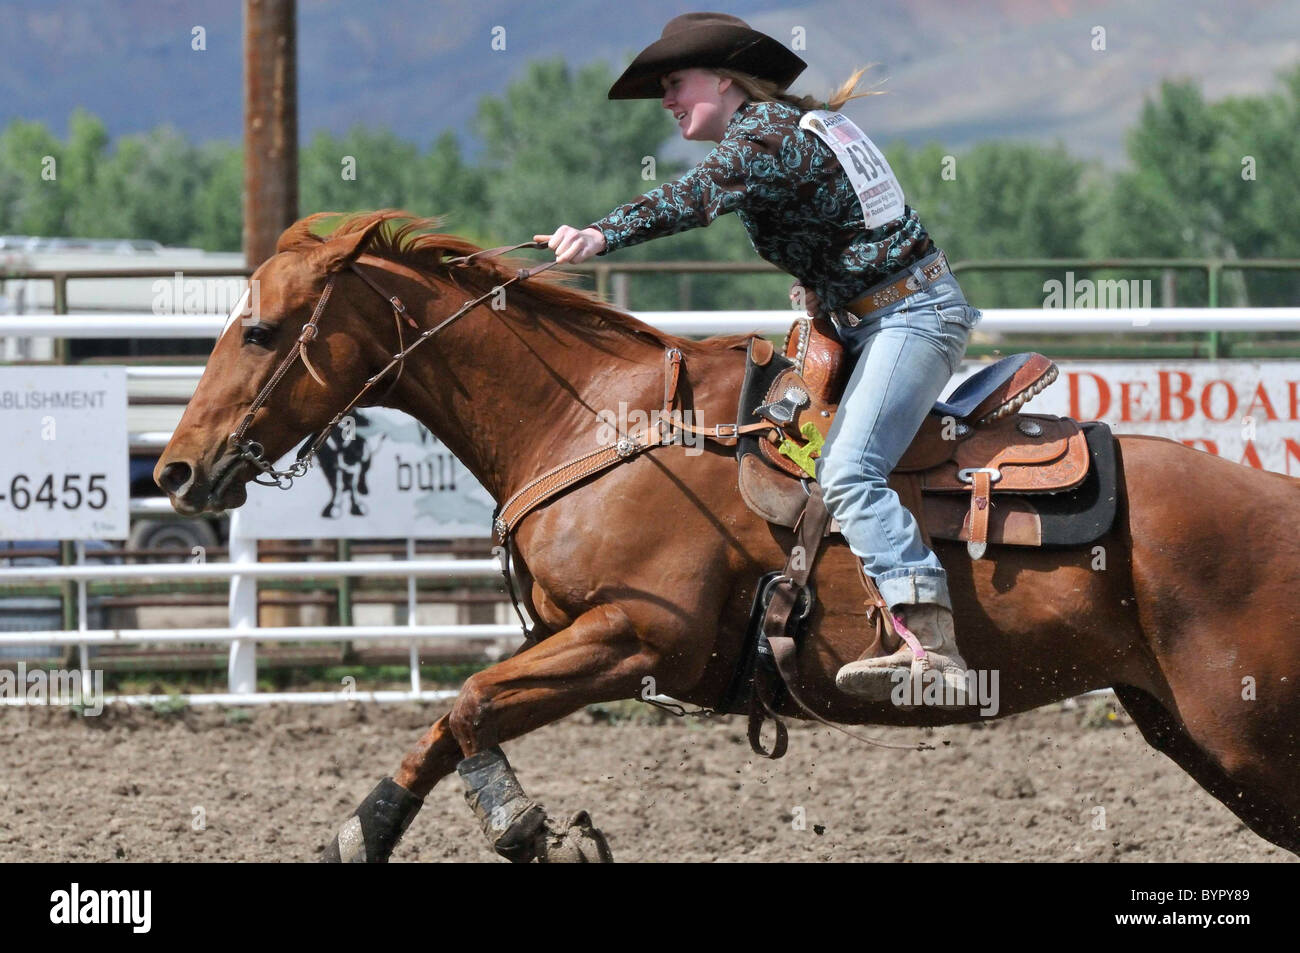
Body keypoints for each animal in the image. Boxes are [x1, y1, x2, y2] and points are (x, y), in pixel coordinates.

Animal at [155, 210, 1300, 862]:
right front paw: (366, 830)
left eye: (260, 330)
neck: (601, 421)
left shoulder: (636, 637)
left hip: (1245, 729)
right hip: (1196, 733)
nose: (175, 469)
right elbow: (449, 716)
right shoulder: (570, 634)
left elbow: (474, 702)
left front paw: (522, 826)